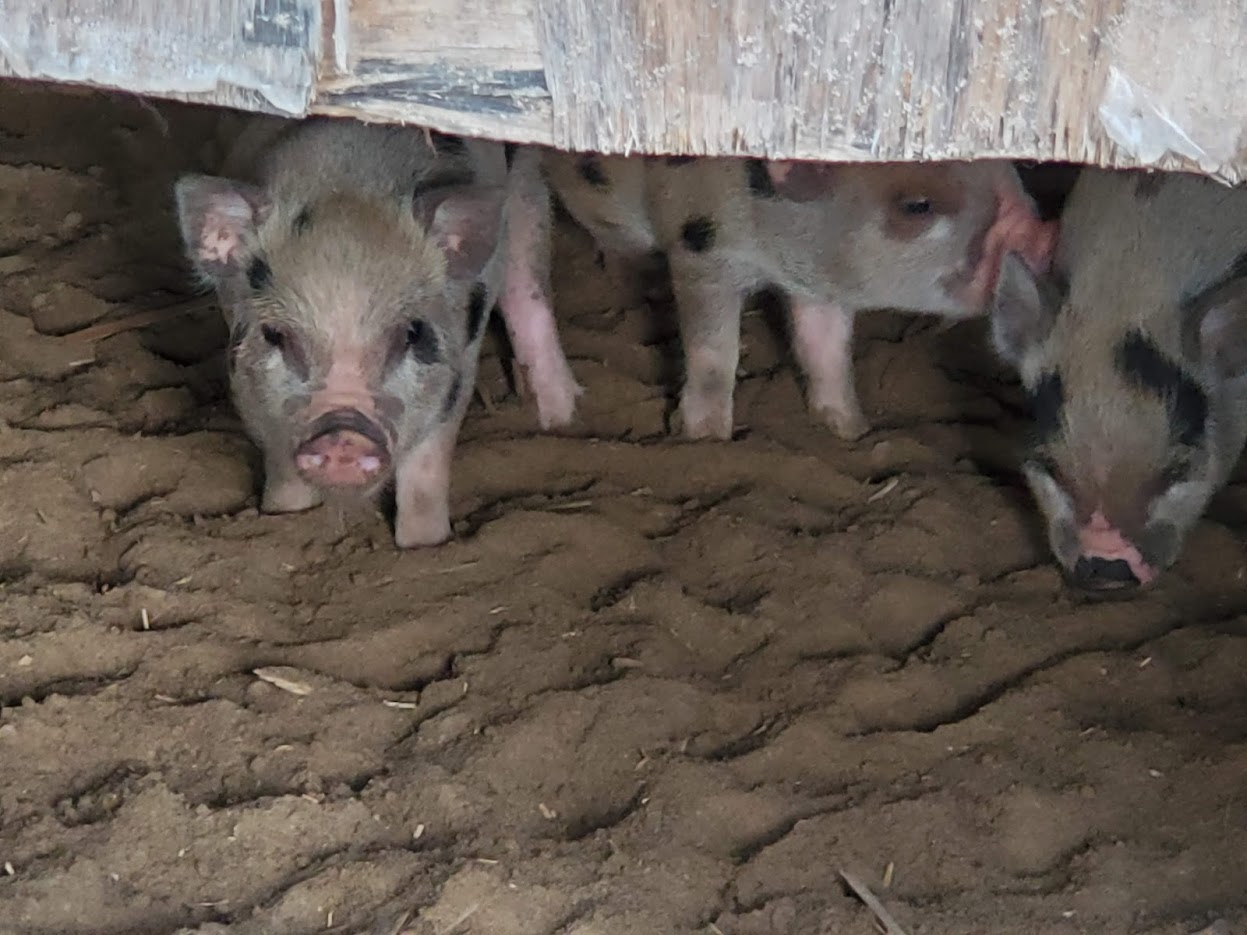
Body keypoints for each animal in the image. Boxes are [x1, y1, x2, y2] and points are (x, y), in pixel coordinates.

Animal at [174, 116, 530, 547]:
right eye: (276, 335)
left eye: (411, 333)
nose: (343, 432)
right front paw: (286, 515)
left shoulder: (462, 364)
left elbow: (427, 464)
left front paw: (424, 544)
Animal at [536, 152, 1057, 440]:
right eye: (917, 206)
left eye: (1018, 171)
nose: (1041, 235)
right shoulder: (702, 252)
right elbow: (713, 354)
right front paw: (706, 438)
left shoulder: (821, 283)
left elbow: (824, 347)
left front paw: (850, 430)